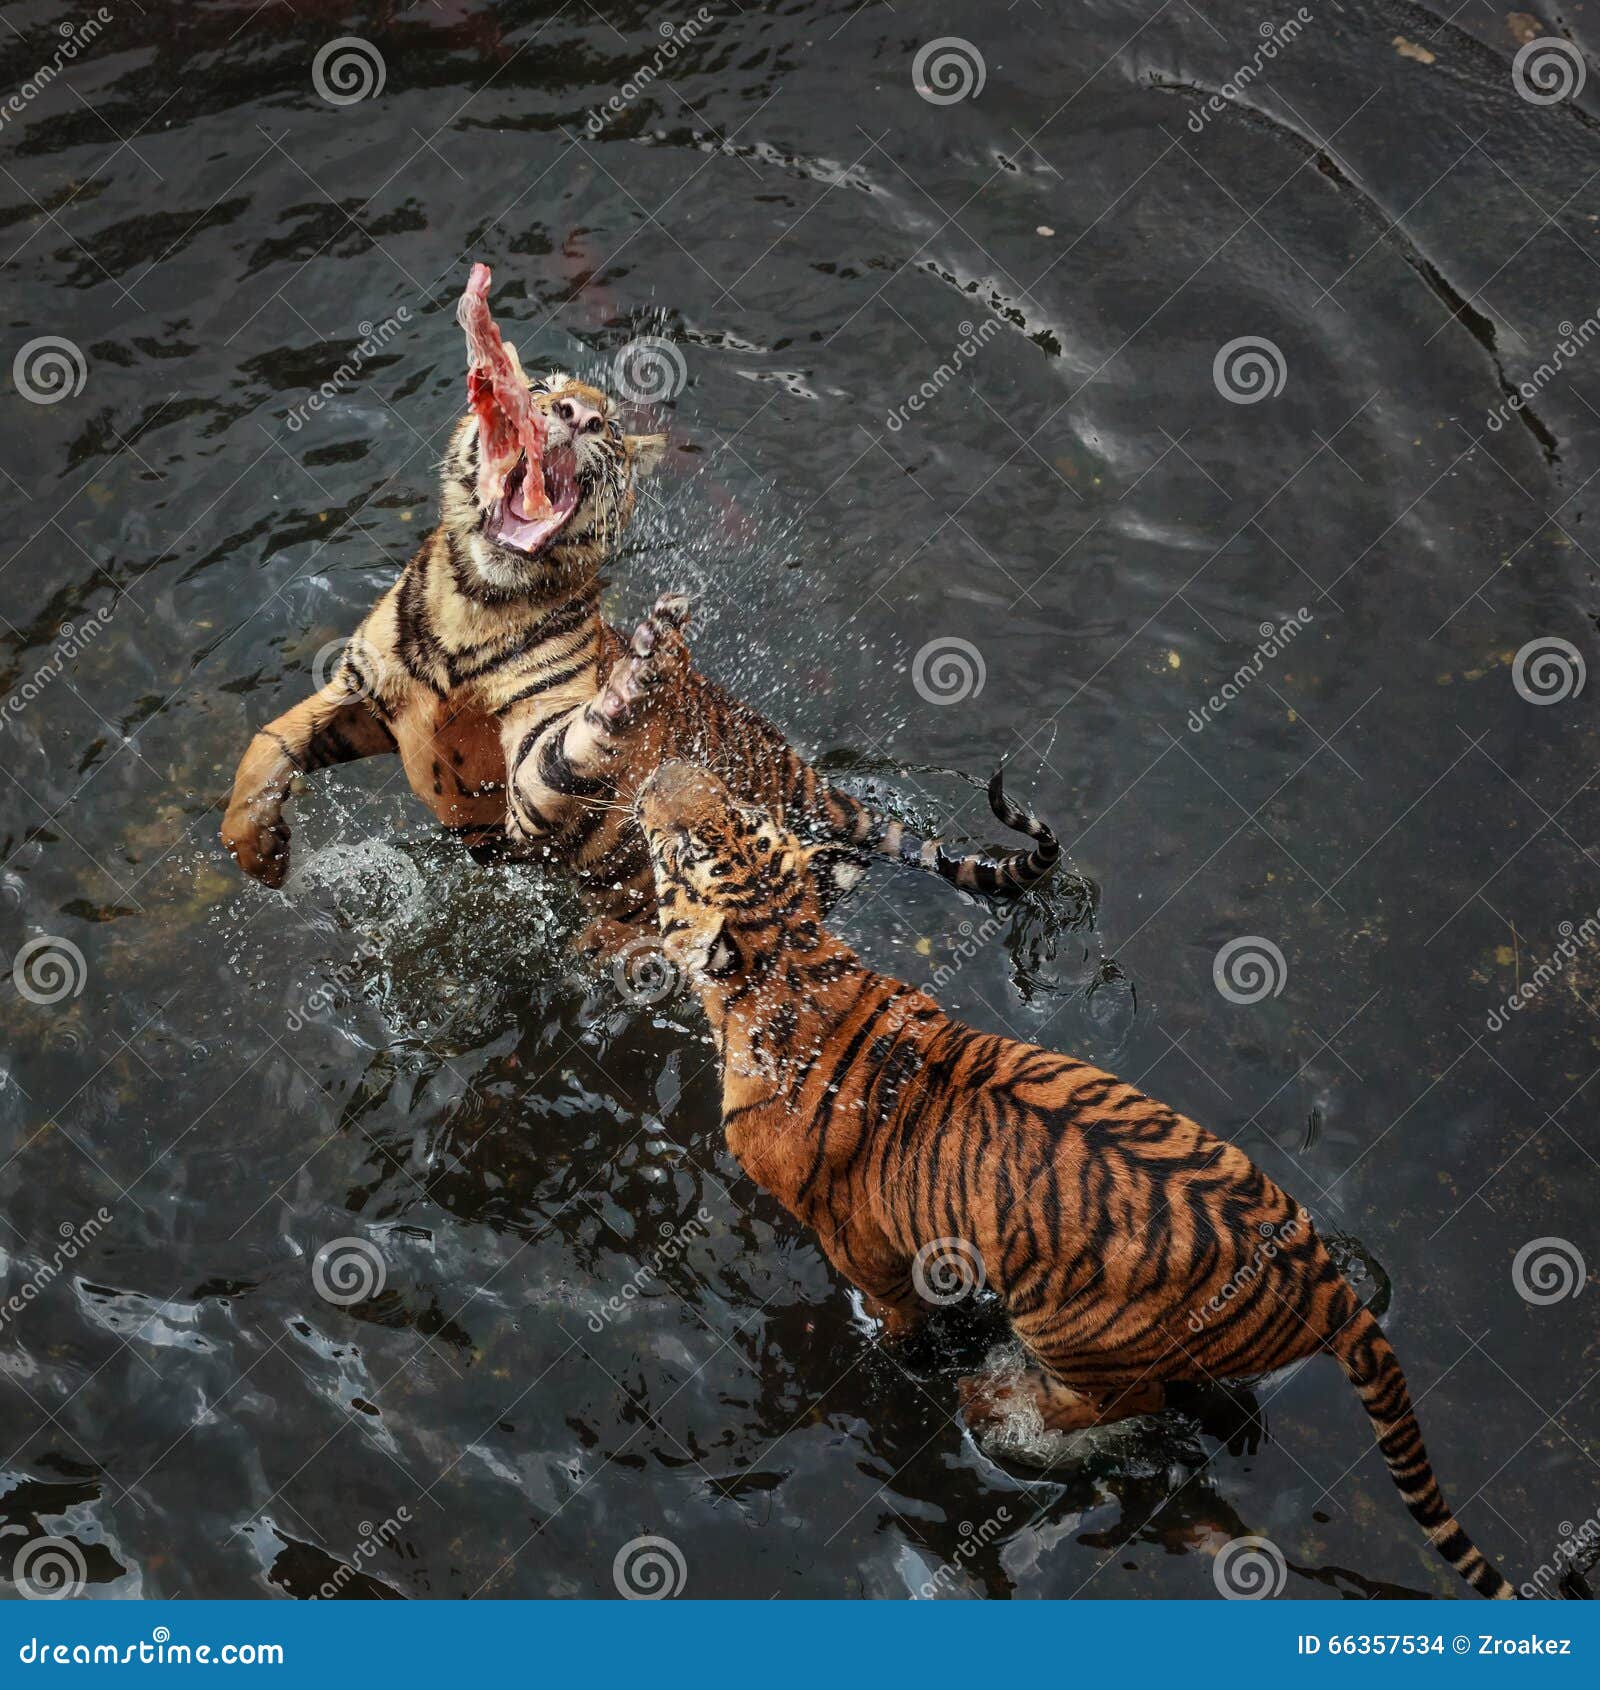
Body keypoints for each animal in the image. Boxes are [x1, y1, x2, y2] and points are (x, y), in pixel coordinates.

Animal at [220, 279, 1058, 945]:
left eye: (613, 429)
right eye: (545, 389)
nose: (575, 416)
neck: (479, 604)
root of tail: (798, 768)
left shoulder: (531, 763)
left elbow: (561, 756)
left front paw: (638, 675)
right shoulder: (363, 689)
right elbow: (266, 745)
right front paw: (259, 852)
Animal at [634, 758, 1587, 1602]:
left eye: (685, 846)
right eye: (731, 816)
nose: (661, 775)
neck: (796, 965)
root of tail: (1328, 1289)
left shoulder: (860, 1245)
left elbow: (895, 1319)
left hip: (1072, 1329)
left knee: (1126, 1398)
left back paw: (996, 1403)